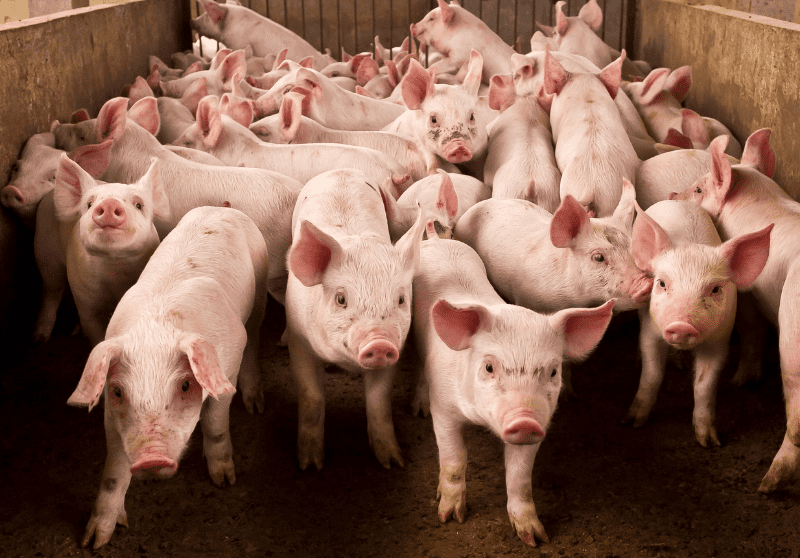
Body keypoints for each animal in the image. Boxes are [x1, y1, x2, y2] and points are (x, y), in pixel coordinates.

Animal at [68, 205, 269, 548]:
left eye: (186, 385)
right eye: (118, 391)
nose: (151, 458)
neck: (156, 331)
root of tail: (222, 208)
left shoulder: (226, 369)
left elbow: (215, 424)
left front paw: (224, 481)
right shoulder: (112, 416)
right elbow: (113, 472)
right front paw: (94, 541)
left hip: (260, 288)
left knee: (254, 337)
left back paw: (256, 404)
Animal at [284, 168, 425, 470]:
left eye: (400, 299)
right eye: (340, 299)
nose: (379, 342)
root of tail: (342, 170)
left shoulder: (397, 349)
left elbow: (379, 402)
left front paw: (393, 462)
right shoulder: (299, 341)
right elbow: (311, 397)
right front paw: (310, 466)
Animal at [413, 229, 614, 546]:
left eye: (553, 371)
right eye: (489, 367)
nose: (525, 421)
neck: (479, 420)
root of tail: (436, 238)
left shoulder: (539, 428)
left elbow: (520, 477)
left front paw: (535, 538)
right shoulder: (443, 409)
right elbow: (454, 458)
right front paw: (449, 517)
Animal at [627, 199, 772, 447]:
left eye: (715, 289)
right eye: (662, 283)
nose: (682, 326)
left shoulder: (720, 340)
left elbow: (705, 385)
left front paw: (710, 442)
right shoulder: (651, 331)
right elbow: (652, 374)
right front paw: (632, 422)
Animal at [671, 130, 800, 493]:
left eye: (699, 189)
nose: (673, 193)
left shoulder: (746, 291)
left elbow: (752, 331)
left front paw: (740, 381)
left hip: (793, 335)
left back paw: (768, 484)